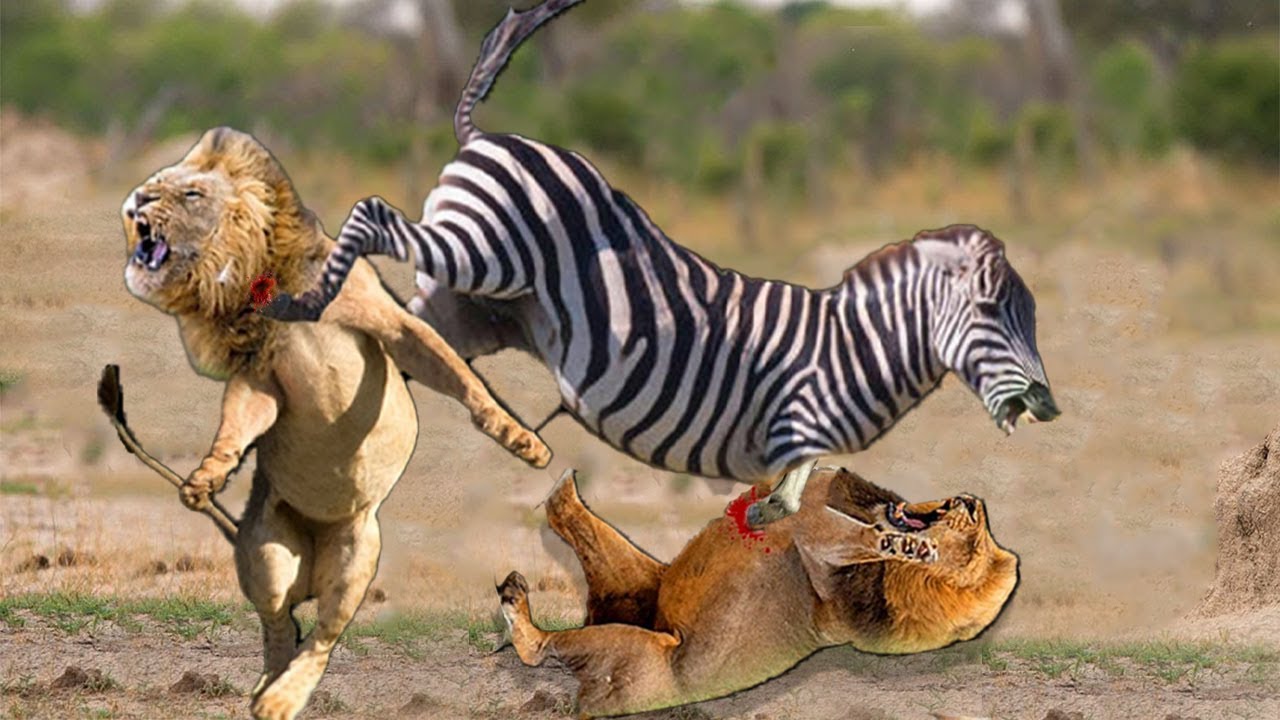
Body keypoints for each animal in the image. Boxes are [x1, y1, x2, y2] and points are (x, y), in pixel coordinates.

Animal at [120, 127, 550, 720]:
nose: (136, 203)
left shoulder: (389, 323)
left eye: (190, 194)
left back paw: (281, 695)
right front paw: (206, 477)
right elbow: (236, 425)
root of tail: (311, 570)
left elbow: (459, 375)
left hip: (356, 553)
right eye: (154, 184)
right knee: (282, 623)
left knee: (323, 635)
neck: (259, 274)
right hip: (267, 554)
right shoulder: (262, 376)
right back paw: (271, 688)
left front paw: (523, 441)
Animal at [266, 0, 1059, 525]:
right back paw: (298, 304)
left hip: (470, 307)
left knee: (406, 344)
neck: (856, 346)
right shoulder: (789, 425)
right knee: (371, 214)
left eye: (1028, 314)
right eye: (992, 311)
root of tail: (486, 136)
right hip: (484, 252)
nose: (1049, 407)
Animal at [499, 467, 1018, 718]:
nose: (970, 501)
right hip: (640, 578)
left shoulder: (823, 555)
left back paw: (517, 607)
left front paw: (905, 545)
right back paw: (561, 484)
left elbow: (840, 530)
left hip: (638, 654)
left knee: (540, 648)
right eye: (979, 523)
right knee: (562, 509)